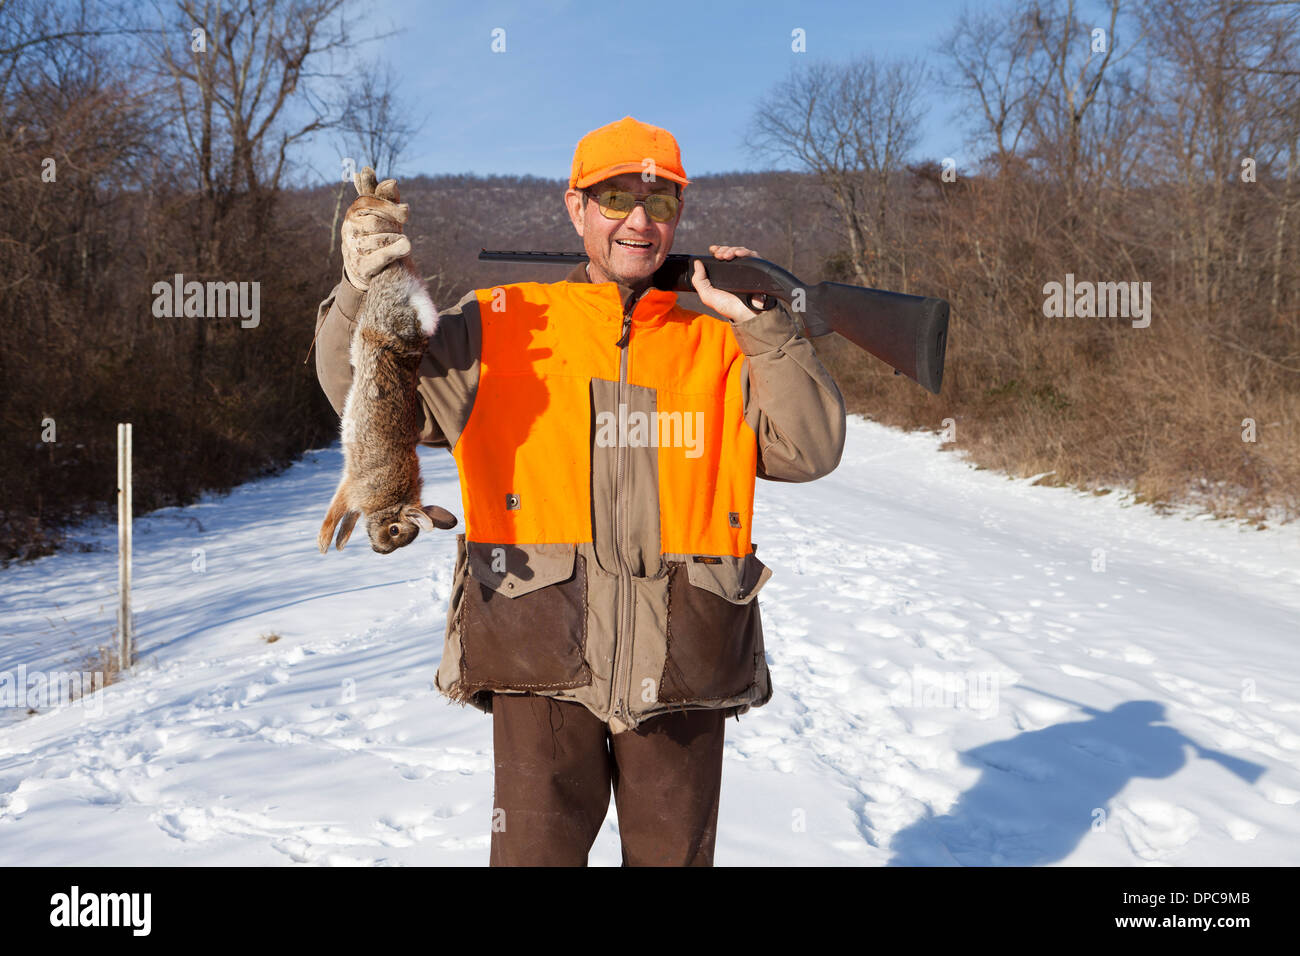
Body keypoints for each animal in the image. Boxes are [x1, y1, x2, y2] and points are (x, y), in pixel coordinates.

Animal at [318, 167, 458, 554]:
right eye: (396, 530)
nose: (379, 550)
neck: (391, 500)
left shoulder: (353, 490)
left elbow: (346, 515)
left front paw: (335, 544)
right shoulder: (355, 485)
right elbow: (338, 510)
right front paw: (324, 542)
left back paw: (374, 184)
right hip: (382, 308)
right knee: (389, 223)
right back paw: (378, 191)